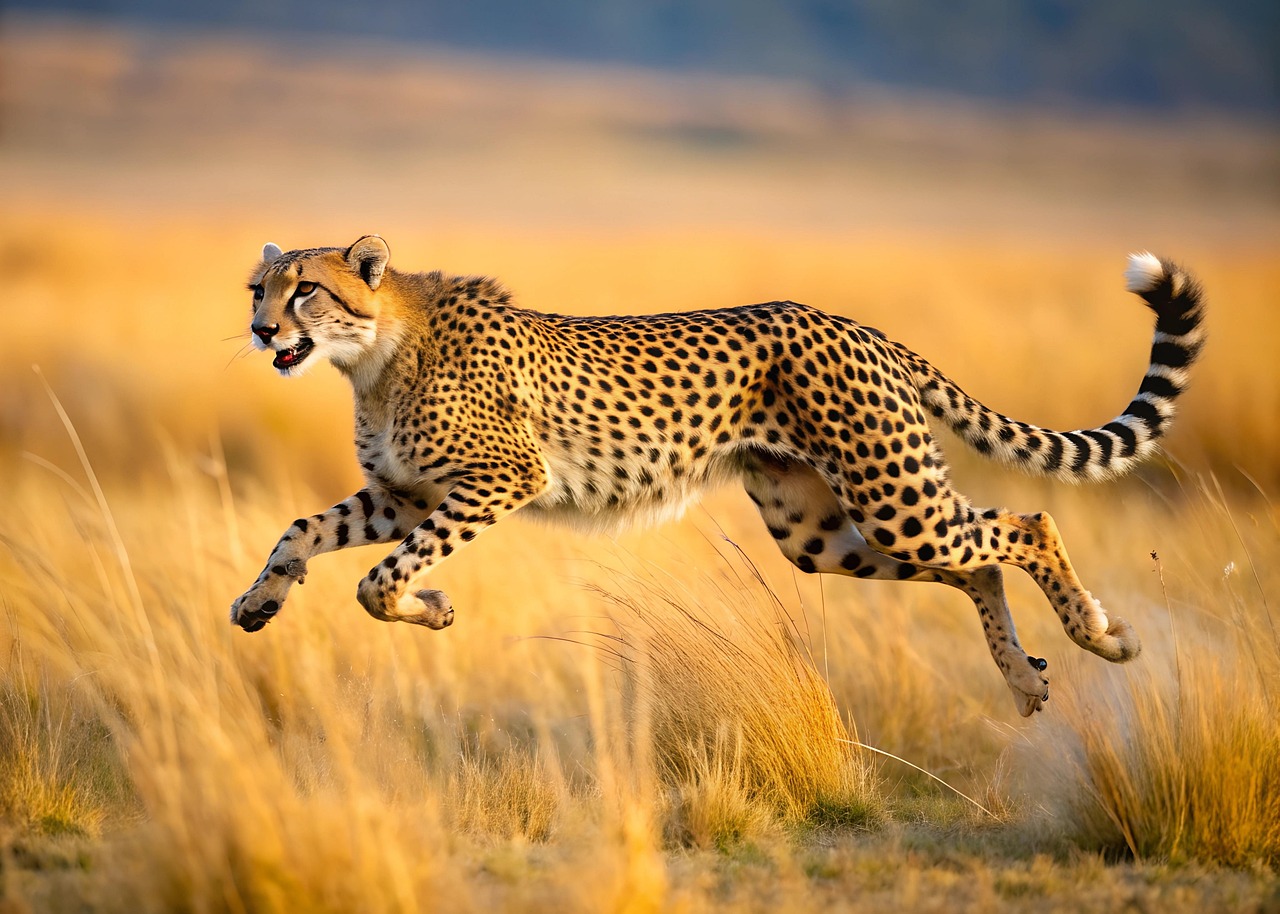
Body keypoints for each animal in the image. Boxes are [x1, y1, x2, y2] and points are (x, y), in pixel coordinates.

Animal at [230, 236, 1205, 716]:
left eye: (305, 290)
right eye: (257, 289)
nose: (258, 330)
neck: (375, 350)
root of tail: (852, 322)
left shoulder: (500, 477)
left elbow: (377, 580)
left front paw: (426, 605)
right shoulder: (408, 493)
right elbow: (305, 531)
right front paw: (261, 600)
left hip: (893, 498)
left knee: (1023, 528)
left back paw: (1100, 635)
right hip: (821, 532)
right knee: (980, 565)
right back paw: (1027, 677)